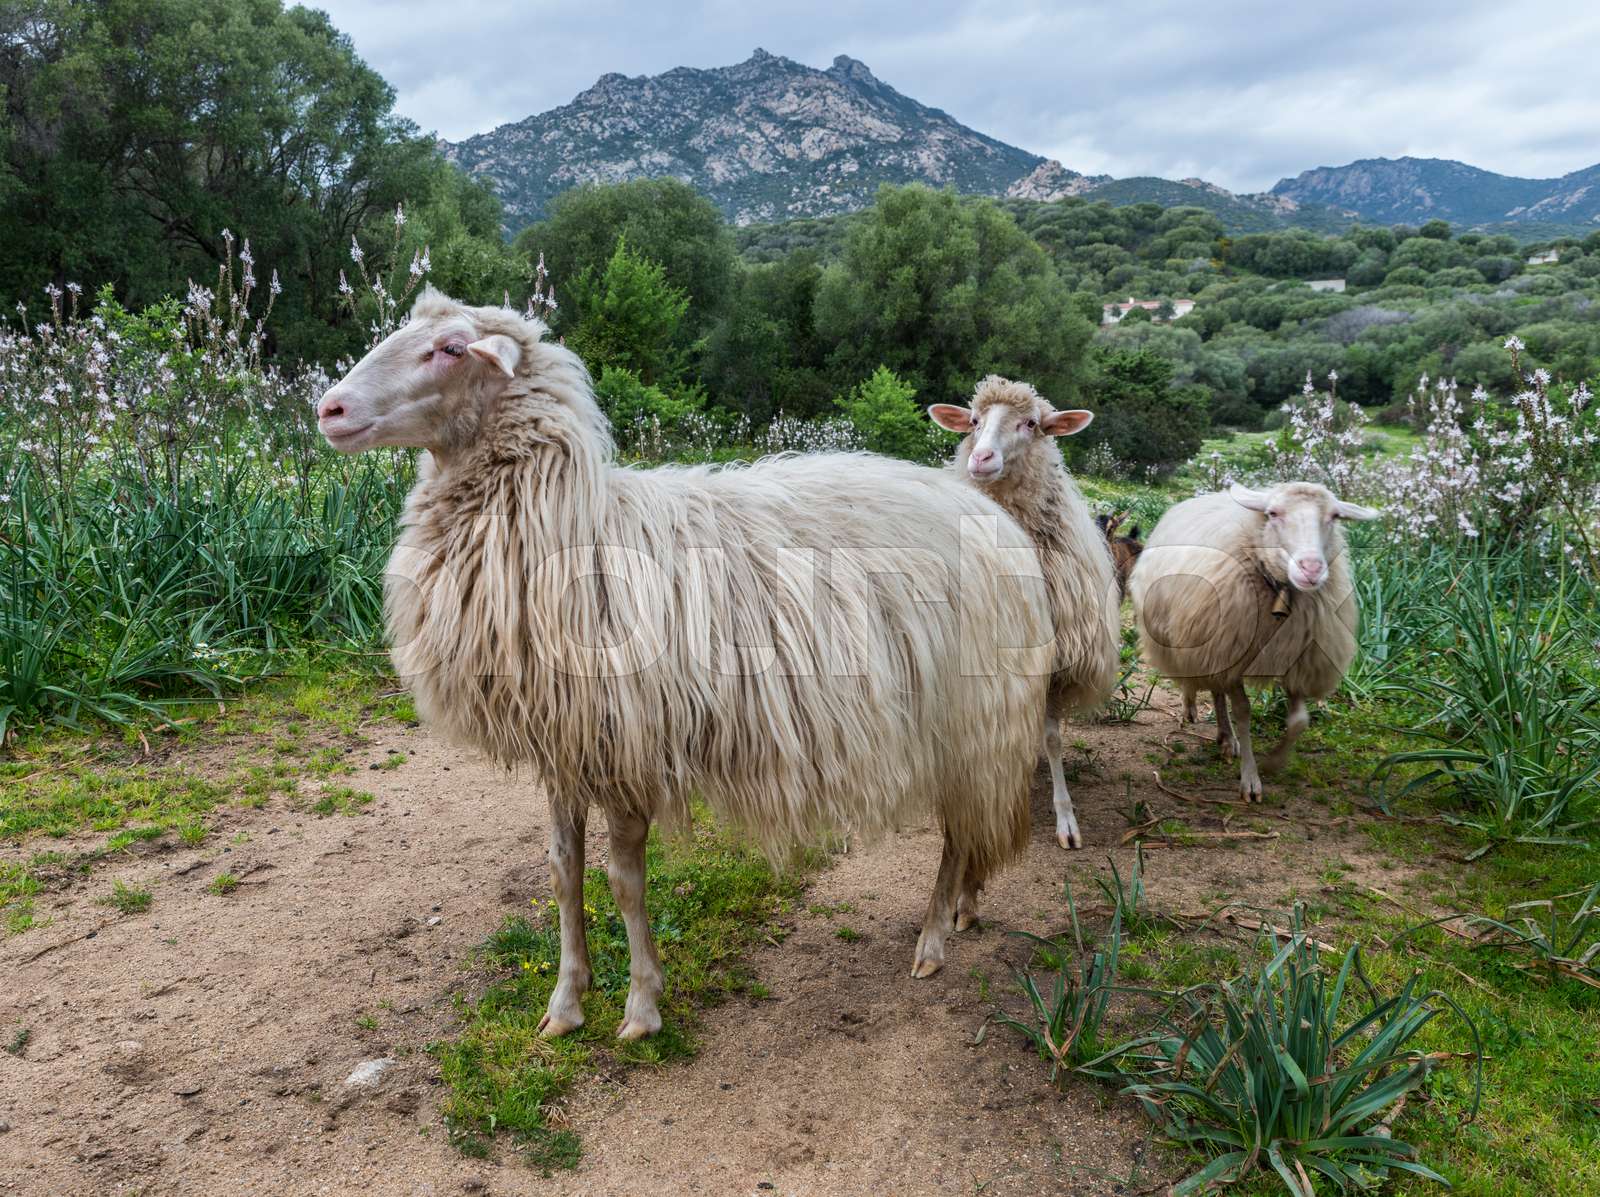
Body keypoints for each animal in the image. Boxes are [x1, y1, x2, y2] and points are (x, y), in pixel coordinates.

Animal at [316, 290, 1055, 1041]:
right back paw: (958, 913)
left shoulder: (627, 742)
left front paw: (642, 1005)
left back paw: (933, 941)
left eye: (451, 349)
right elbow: (562, 871)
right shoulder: (565, 744)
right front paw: (566, 1002)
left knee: (958, 833)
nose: (329, 409)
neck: (572, 523)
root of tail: (984, 509)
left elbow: (624, 880)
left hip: (971, 714)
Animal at [928, 376, 1120, 862]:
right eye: (974, 421)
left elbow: (1052, 739)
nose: (980, 459)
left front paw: (1066, 819)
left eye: (1032, 423)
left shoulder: (1057, 663)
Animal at [1127, 482, 1379, 801]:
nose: (1311, 569)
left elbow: (1299, 721)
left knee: (1216, 691)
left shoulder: (1296, 660)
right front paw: (1251, 779)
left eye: (1334, 516)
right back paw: (1192, 707)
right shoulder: (1231, 652)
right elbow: (1243, 712)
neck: (1280, 589)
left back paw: (1225, 737)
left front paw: (1273, 762)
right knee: (1196, 681)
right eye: (1273, 513)